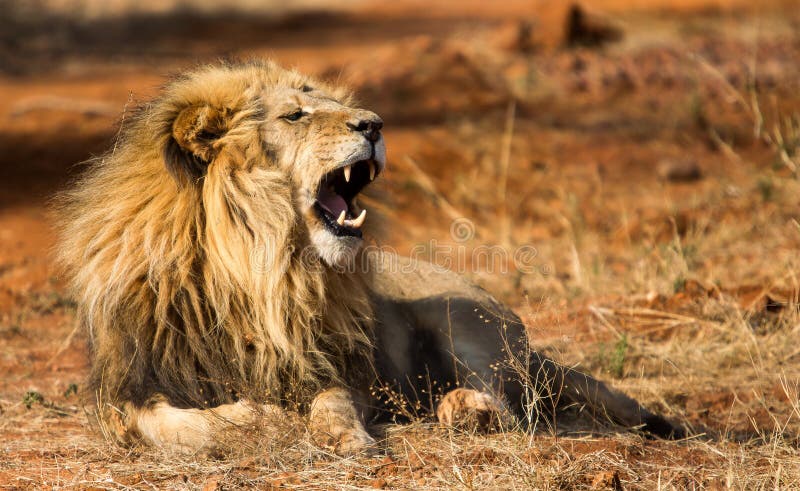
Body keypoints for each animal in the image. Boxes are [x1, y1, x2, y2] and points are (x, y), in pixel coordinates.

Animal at [56, 60, 683, 455]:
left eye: (336, 105)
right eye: (295, 116)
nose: (375, 125)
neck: (256, 271)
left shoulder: (333, 364)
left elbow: (333, 402)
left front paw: (343, 436)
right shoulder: (128, 388)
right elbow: (166, 424)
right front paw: (260, 417)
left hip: (465, 319)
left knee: (510, 405)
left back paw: (463, 410)